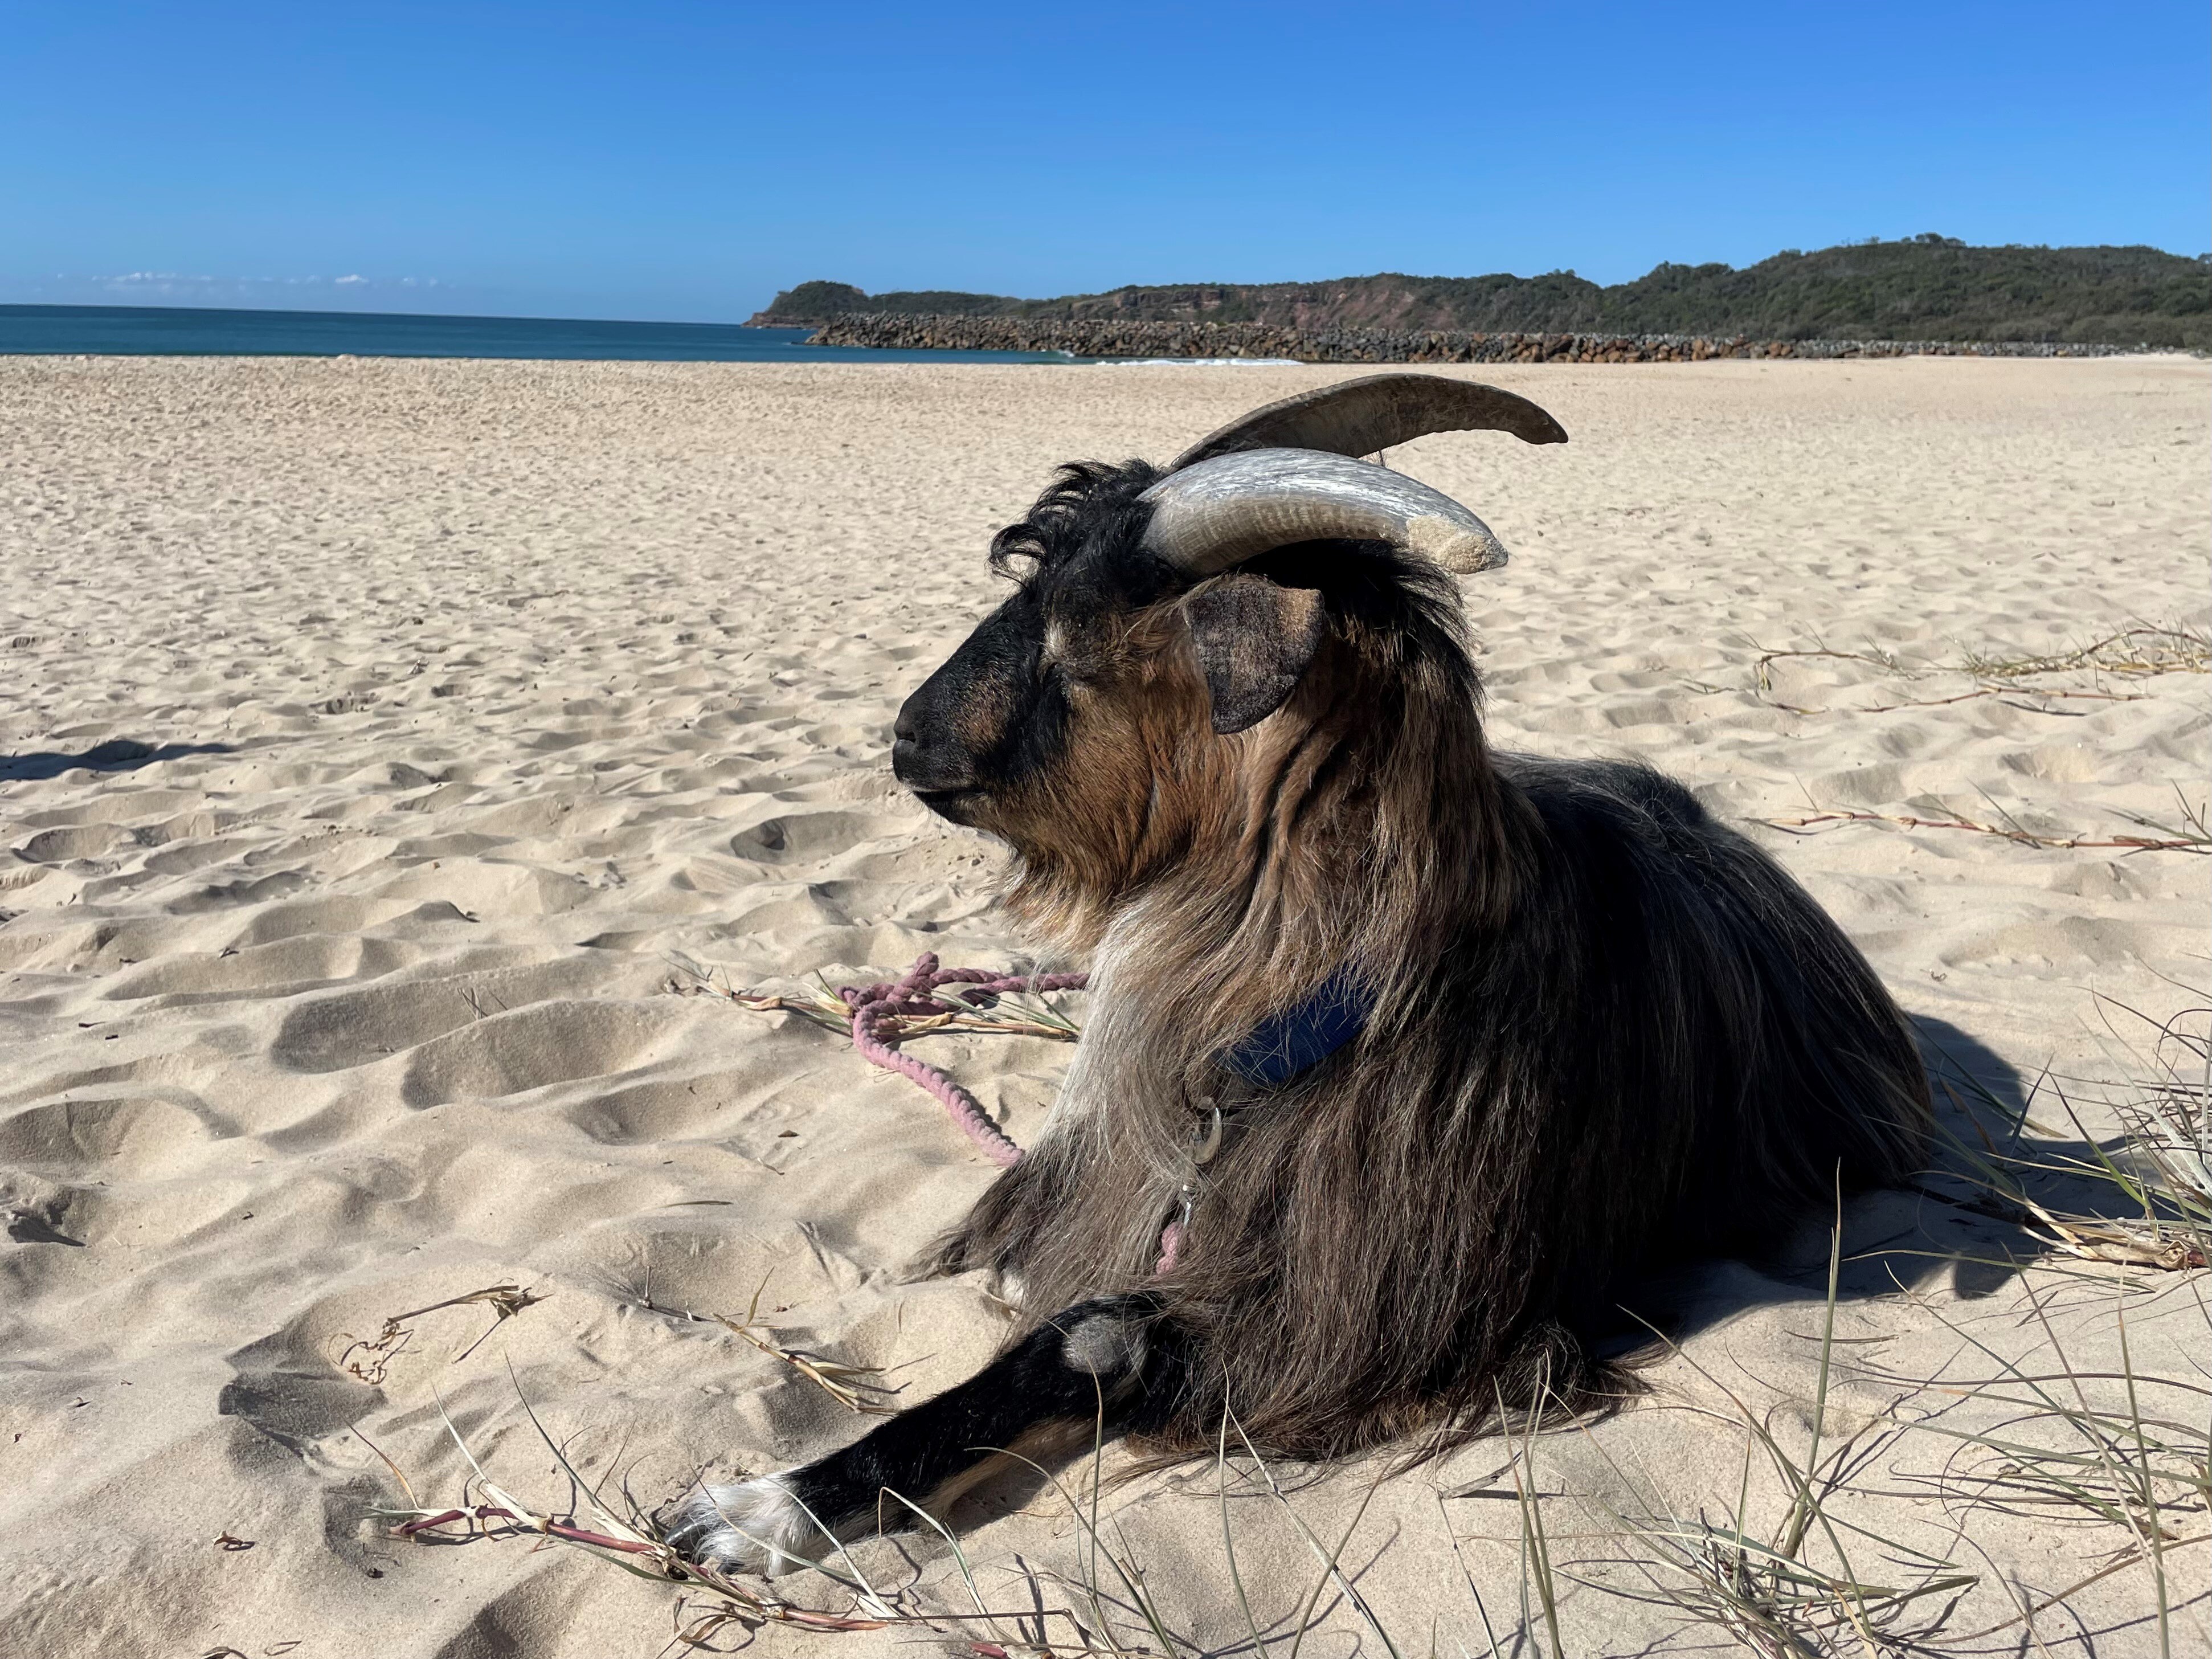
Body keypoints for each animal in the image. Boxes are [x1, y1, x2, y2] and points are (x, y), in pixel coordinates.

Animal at [665, 373, 1933, 1575]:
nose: (904, 736)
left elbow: (1093, 1339)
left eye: (1078, 641)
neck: (1292, 1026)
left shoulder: (1353, 1335)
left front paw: (759, 1509)